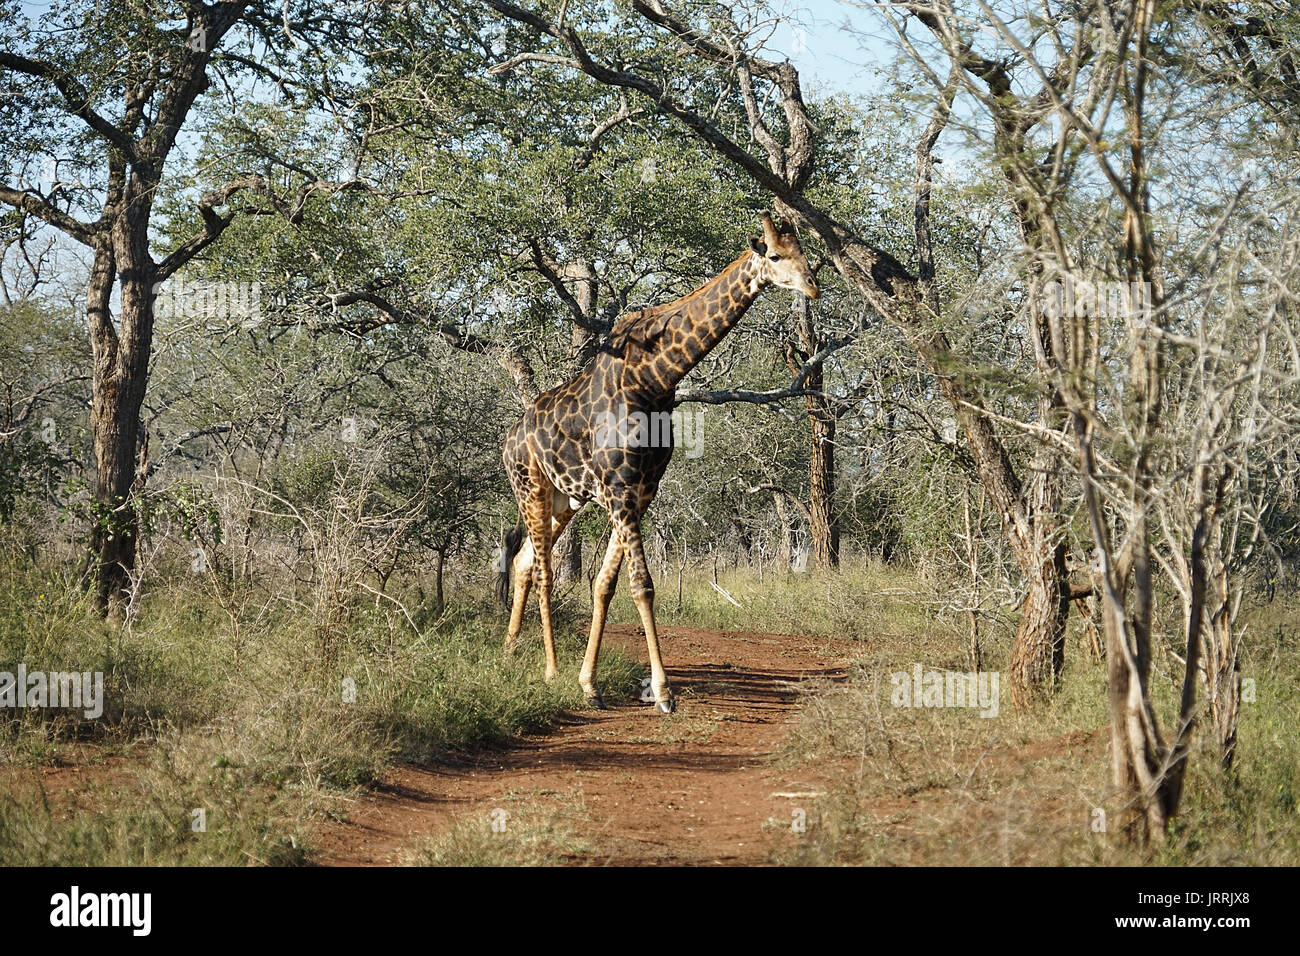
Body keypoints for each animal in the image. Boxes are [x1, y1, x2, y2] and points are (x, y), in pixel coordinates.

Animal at [498, 214, 819, 713]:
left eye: (806, 252)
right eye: (774, 254)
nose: (813, 287)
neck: (655, 376)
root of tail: (508, 439)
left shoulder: (641, 489)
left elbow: (605, 584)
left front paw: (589, 684)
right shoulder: (620, 488)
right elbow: (642, 584)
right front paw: (664, 691)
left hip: (564, 500)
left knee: (526, 560)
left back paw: (511, 651)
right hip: (530, 485)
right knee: (546, 569)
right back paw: (549, 670)